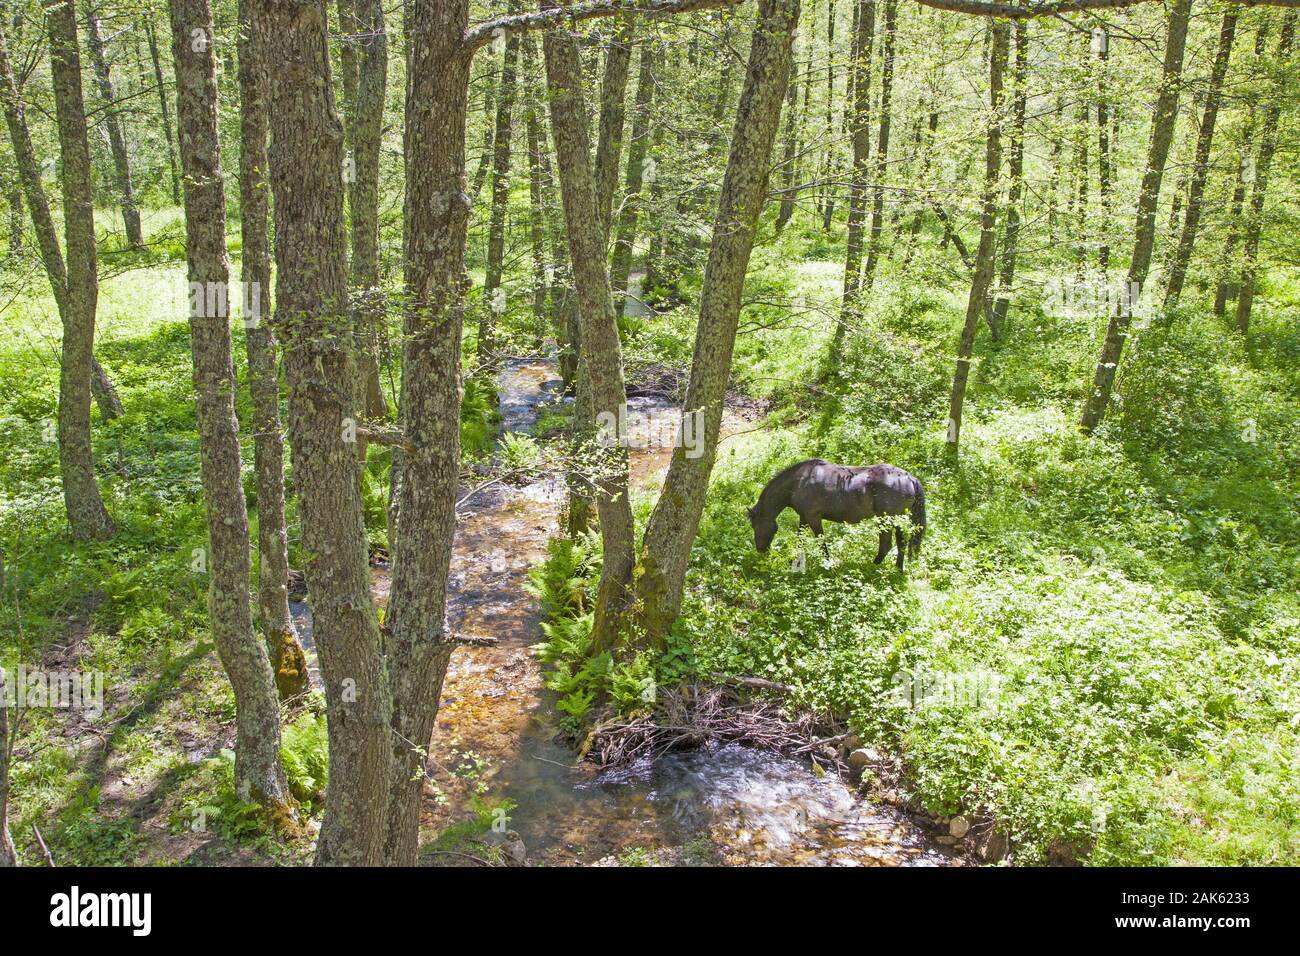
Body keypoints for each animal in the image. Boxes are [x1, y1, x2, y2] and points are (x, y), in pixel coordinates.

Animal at [746, 459, 927, 570]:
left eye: (755, 526)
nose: (760, 550)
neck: (799, 481)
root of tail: (910, 478)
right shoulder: (804, 517)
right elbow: (800, 538)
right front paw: (795, 560)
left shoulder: (813, 517)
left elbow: (821, 541)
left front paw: (828, 564)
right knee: (898, 543)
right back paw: (897, 568)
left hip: (886, 520)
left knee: (888, 544)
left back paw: (872, 566)